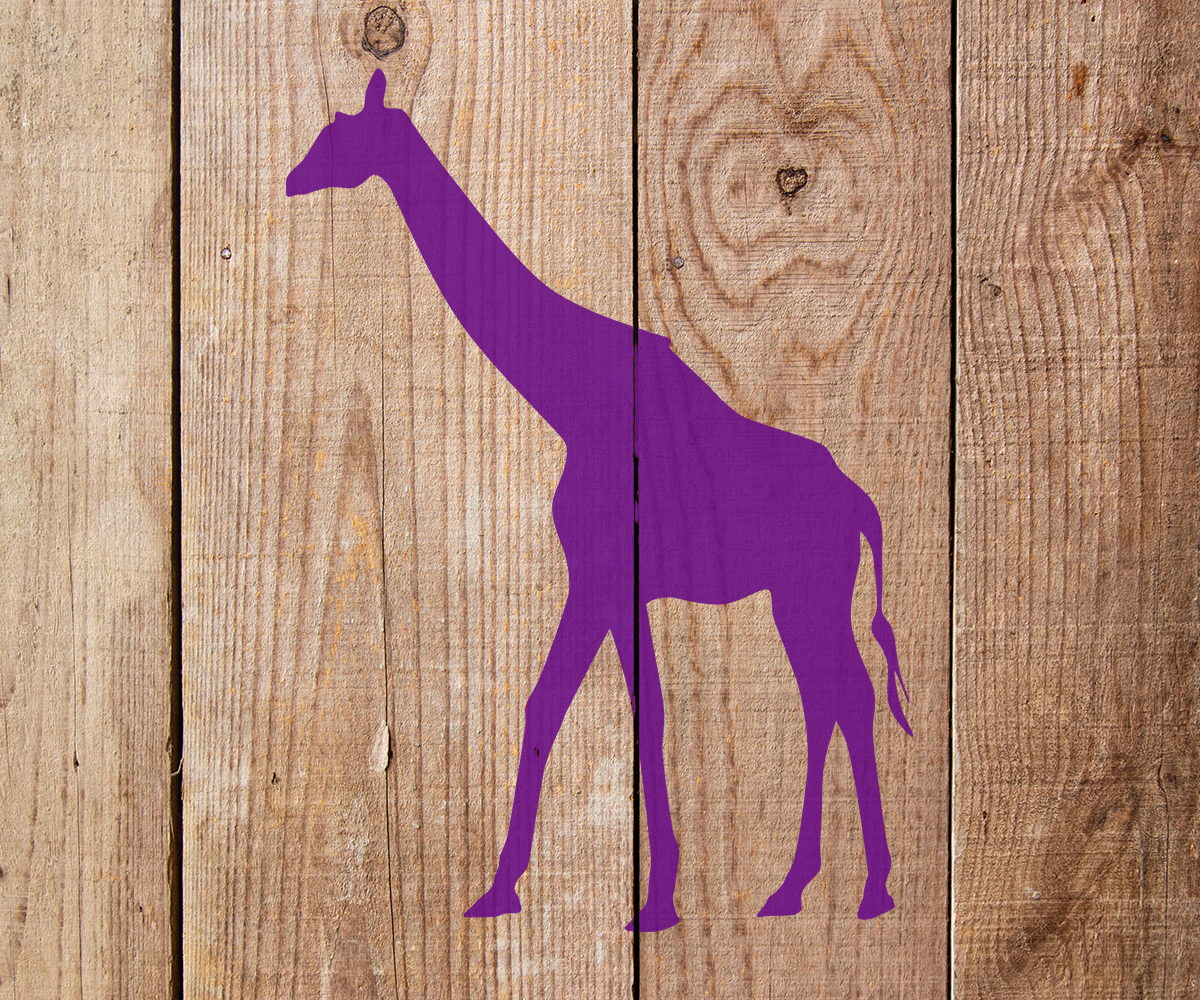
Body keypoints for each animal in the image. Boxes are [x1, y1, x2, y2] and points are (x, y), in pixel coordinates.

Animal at [287, 70, 912, 932]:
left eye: (338, 136)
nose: (292, 177)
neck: (573, 397)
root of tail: (861, 504)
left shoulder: (606, 576)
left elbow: (624, 710)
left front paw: (652, 900)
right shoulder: (606, 582)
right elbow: (558, 706)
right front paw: (507, 888)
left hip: (808, 590)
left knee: (845, 697)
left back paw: (868, 887)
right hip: (799, 594)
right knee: (831, 700)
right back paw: (796, 887)